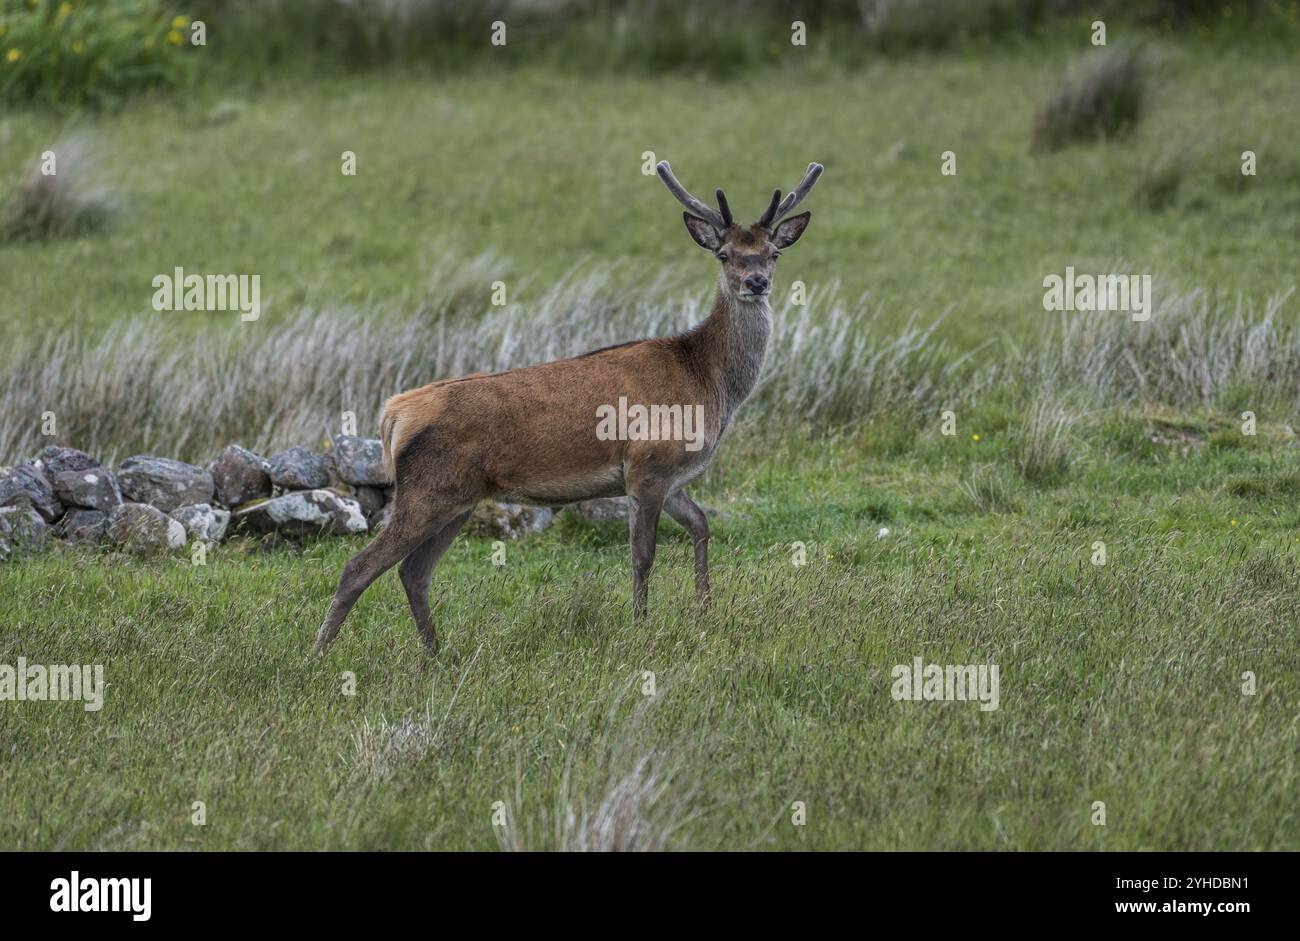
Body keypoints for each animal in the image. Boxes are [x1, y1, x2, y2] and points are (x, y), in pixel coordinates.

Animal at [313, 160, 823, 656]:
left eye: (773, 253)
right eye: (725, 254)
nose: (755, 281)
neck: (706, 383)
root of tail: (394, 413)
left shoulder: (672, 477)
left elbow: (700, 526)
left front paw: (704, 612)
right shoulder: (648, 466)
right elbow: (643, 555)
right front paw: (641, 627)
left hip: (456, 497)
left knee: (413, 572)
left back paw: (436, 656)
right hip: (427, 489)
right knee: (359, 566)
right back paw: (319, 655)